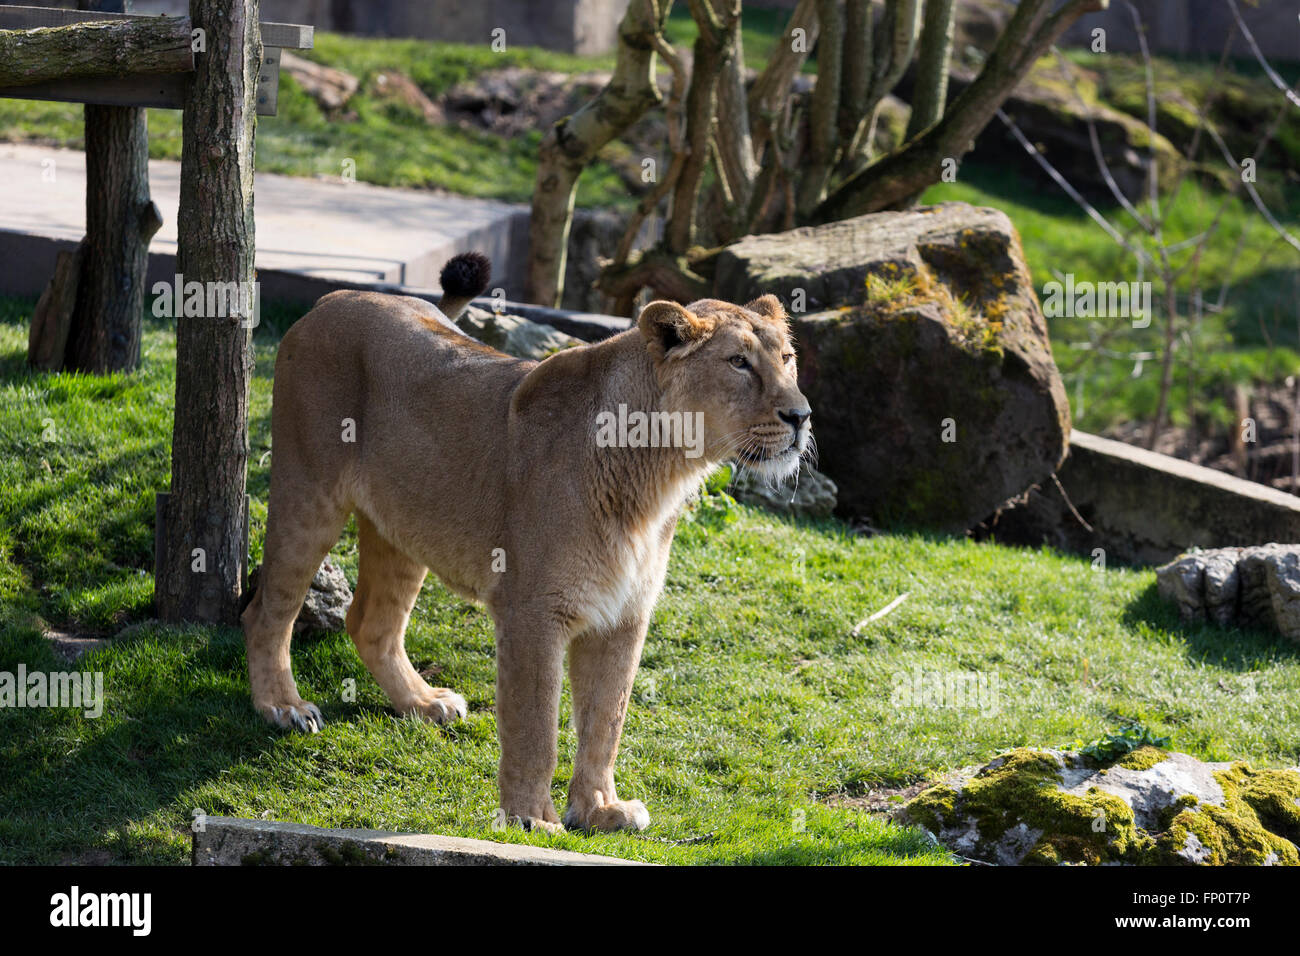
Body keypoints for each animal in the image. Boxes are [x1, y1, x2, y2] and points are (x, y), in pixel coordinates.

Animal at [241, 252, 813, 833]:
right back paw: (284, 707)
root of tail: (333, 298)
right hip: (308, 492)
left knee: (370, 624)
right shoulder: (532, 610)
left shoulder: (625, 615)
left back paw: (423, 703)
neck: (659, 478)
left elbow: (606, 720)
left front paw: (600, 809)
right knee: (268, 609)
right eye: (738, 363)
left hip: (401, 525)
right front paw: (532, 820)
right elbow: (534, 724)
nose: (801, 415)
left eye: (787, 358)